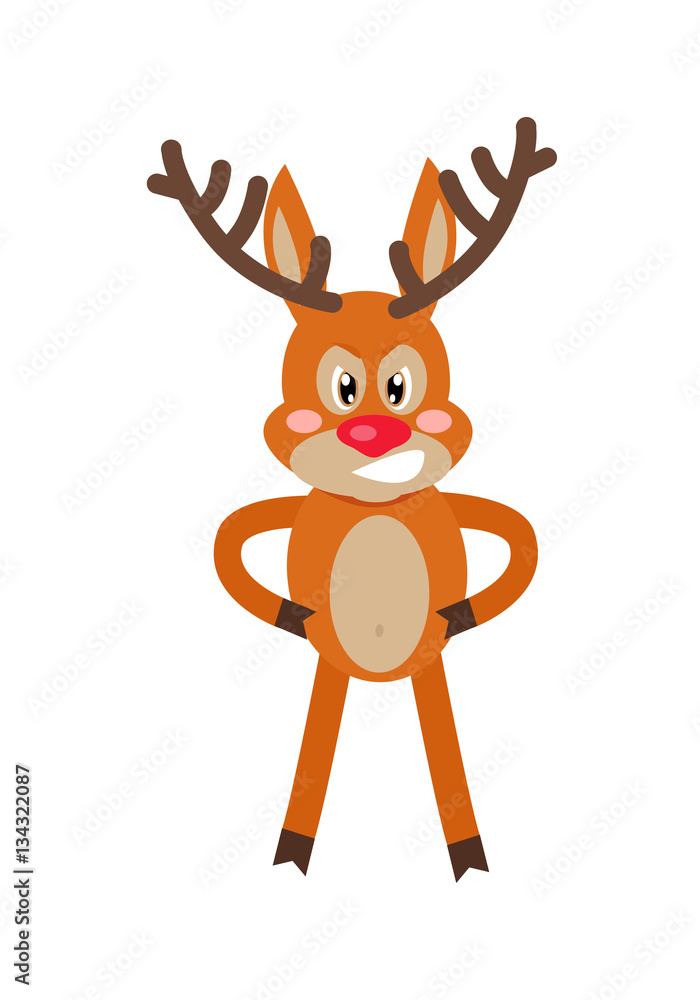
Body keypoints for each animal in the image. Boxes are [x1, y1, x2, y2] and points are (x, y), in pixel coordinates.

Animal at [148, 118, 556, 881]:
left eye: (399, 387)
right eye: (343, 387)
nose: (374, 434)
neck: (374, 506)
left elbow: (518, 542)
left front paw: (458, 614)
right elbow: (232, 543)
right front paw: (293, 614)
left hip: (424, 672)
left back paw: (468, 857)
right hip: (333, 671)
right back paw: (291, 852)